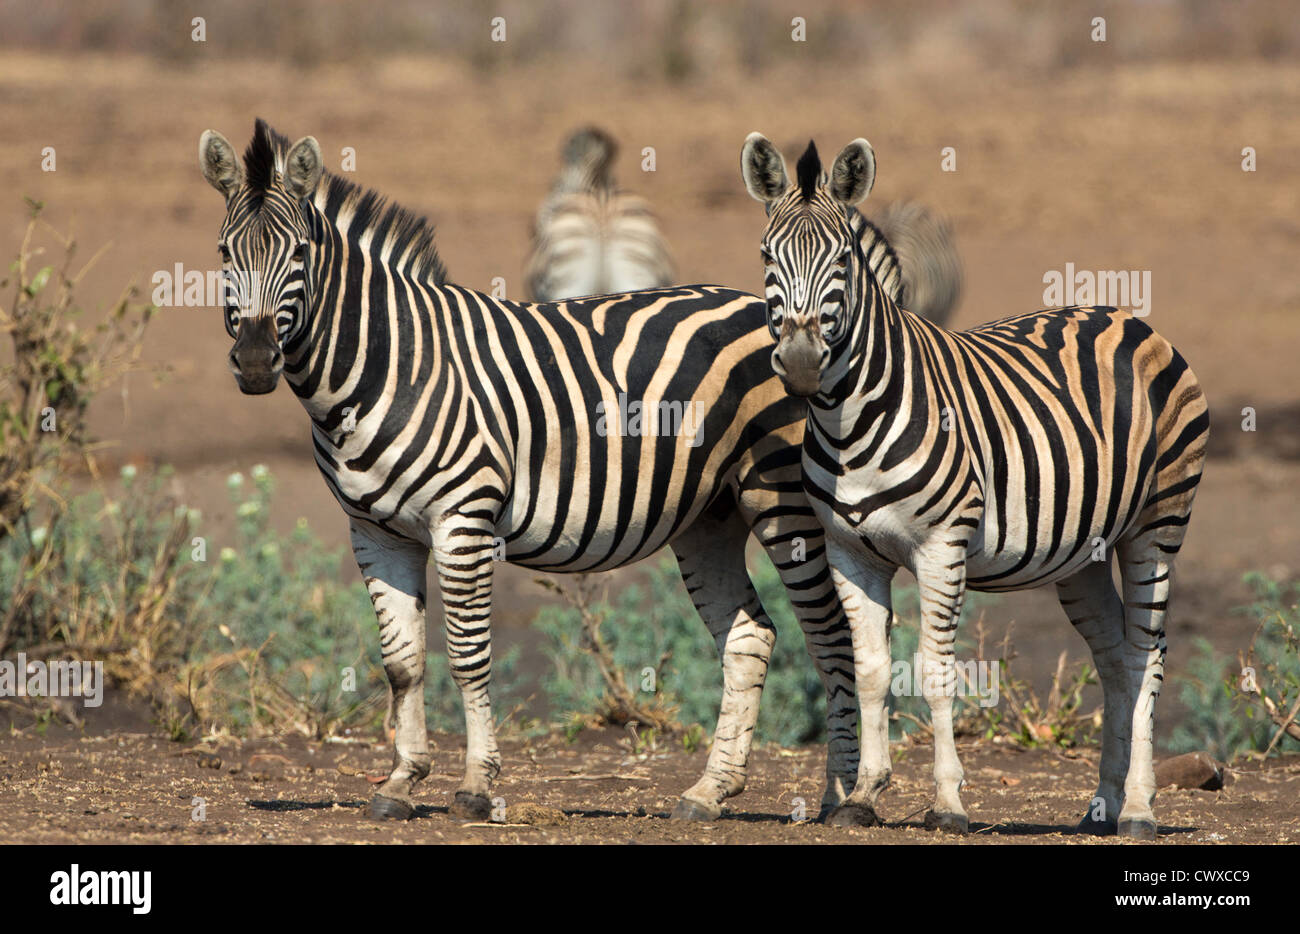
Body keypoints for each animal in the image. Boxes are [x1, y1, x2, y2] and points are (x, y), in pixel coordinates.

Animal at [740, 133, 1209, 839]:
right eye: (768, 256)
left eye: (842, 259)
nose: (798, 368)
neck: (850, 419)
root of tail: (1125, 316)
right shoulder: (849, 552)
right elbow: (871, 671)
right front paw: (862, 796)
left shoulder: (942, 547)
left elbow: (934, 672)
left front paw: (948, 802)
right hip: (1083, 553)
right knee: (1113, 656)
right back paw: (1100, 807)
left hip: (1158, 525)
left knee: (1145, 655)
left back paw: (1138, 809)